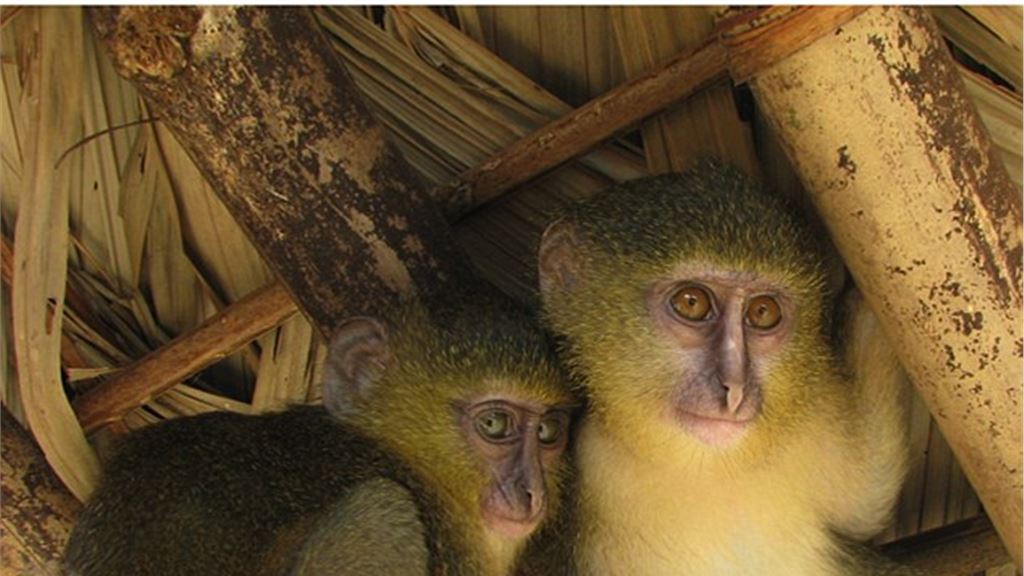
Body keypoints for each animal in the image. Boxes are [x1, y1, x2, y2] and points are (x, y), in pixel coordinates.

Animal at [530, 161, 913, 575]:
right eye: (691, 302)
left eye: (762, 312)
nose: (735, 387)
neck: (702, 469)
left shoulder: (812, 417)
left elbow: (869, 495)